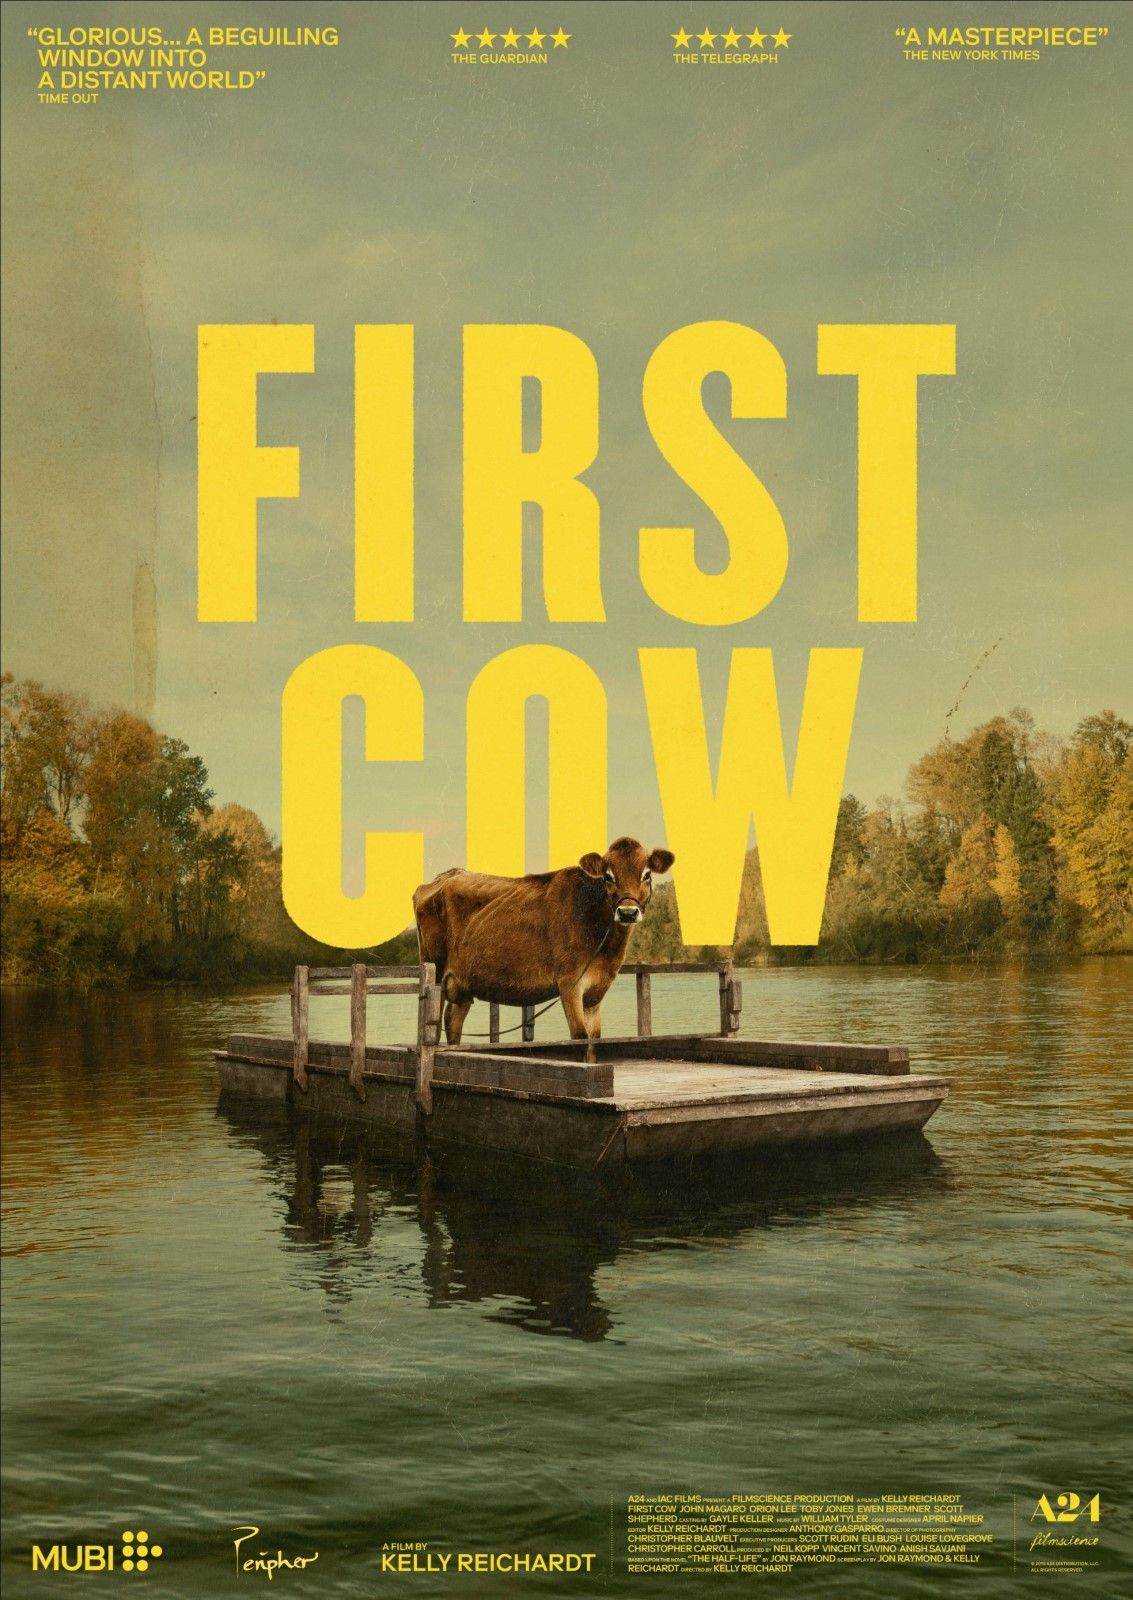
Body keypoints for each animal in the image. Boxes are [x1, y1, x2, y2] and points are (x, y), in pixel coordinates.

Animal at [412, 837, 675, 1055]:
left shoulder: (596, 991)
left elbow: (594, 1040)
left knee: (453, 1020)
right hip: (435, 970)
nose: (628, 912)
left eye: (647, 874)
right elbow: (579, 1038)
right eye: (608, 876)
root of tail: (445, 876)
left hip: (463, 982)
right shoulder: (570, 984)